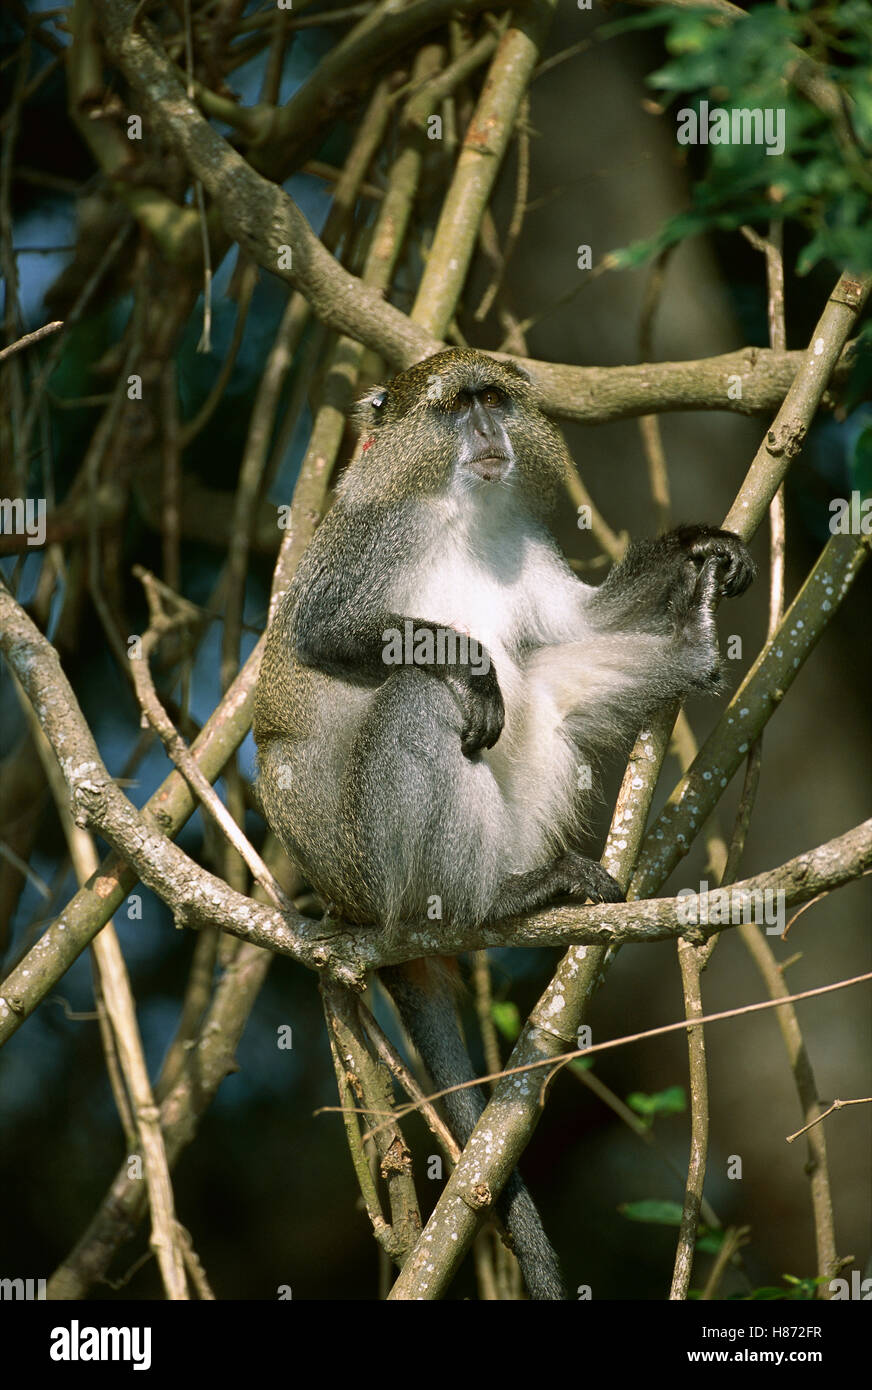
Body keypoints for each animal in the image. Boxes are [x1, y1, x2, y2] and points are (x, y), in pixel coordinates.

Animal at [253, 347, 754, 1300]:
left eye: (493, 398)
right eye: (456, 409)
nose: (488, 431)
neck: (459, 513)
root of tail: (349, 909)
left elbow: (580, 622)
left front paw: (694, 550)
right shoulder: (370, 536)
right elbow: (322, 634)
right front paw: (467, 662)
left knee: (548, 676)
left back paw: (697, 651)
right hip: (372, 862)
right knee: (419, 699)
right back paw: (492, 902)